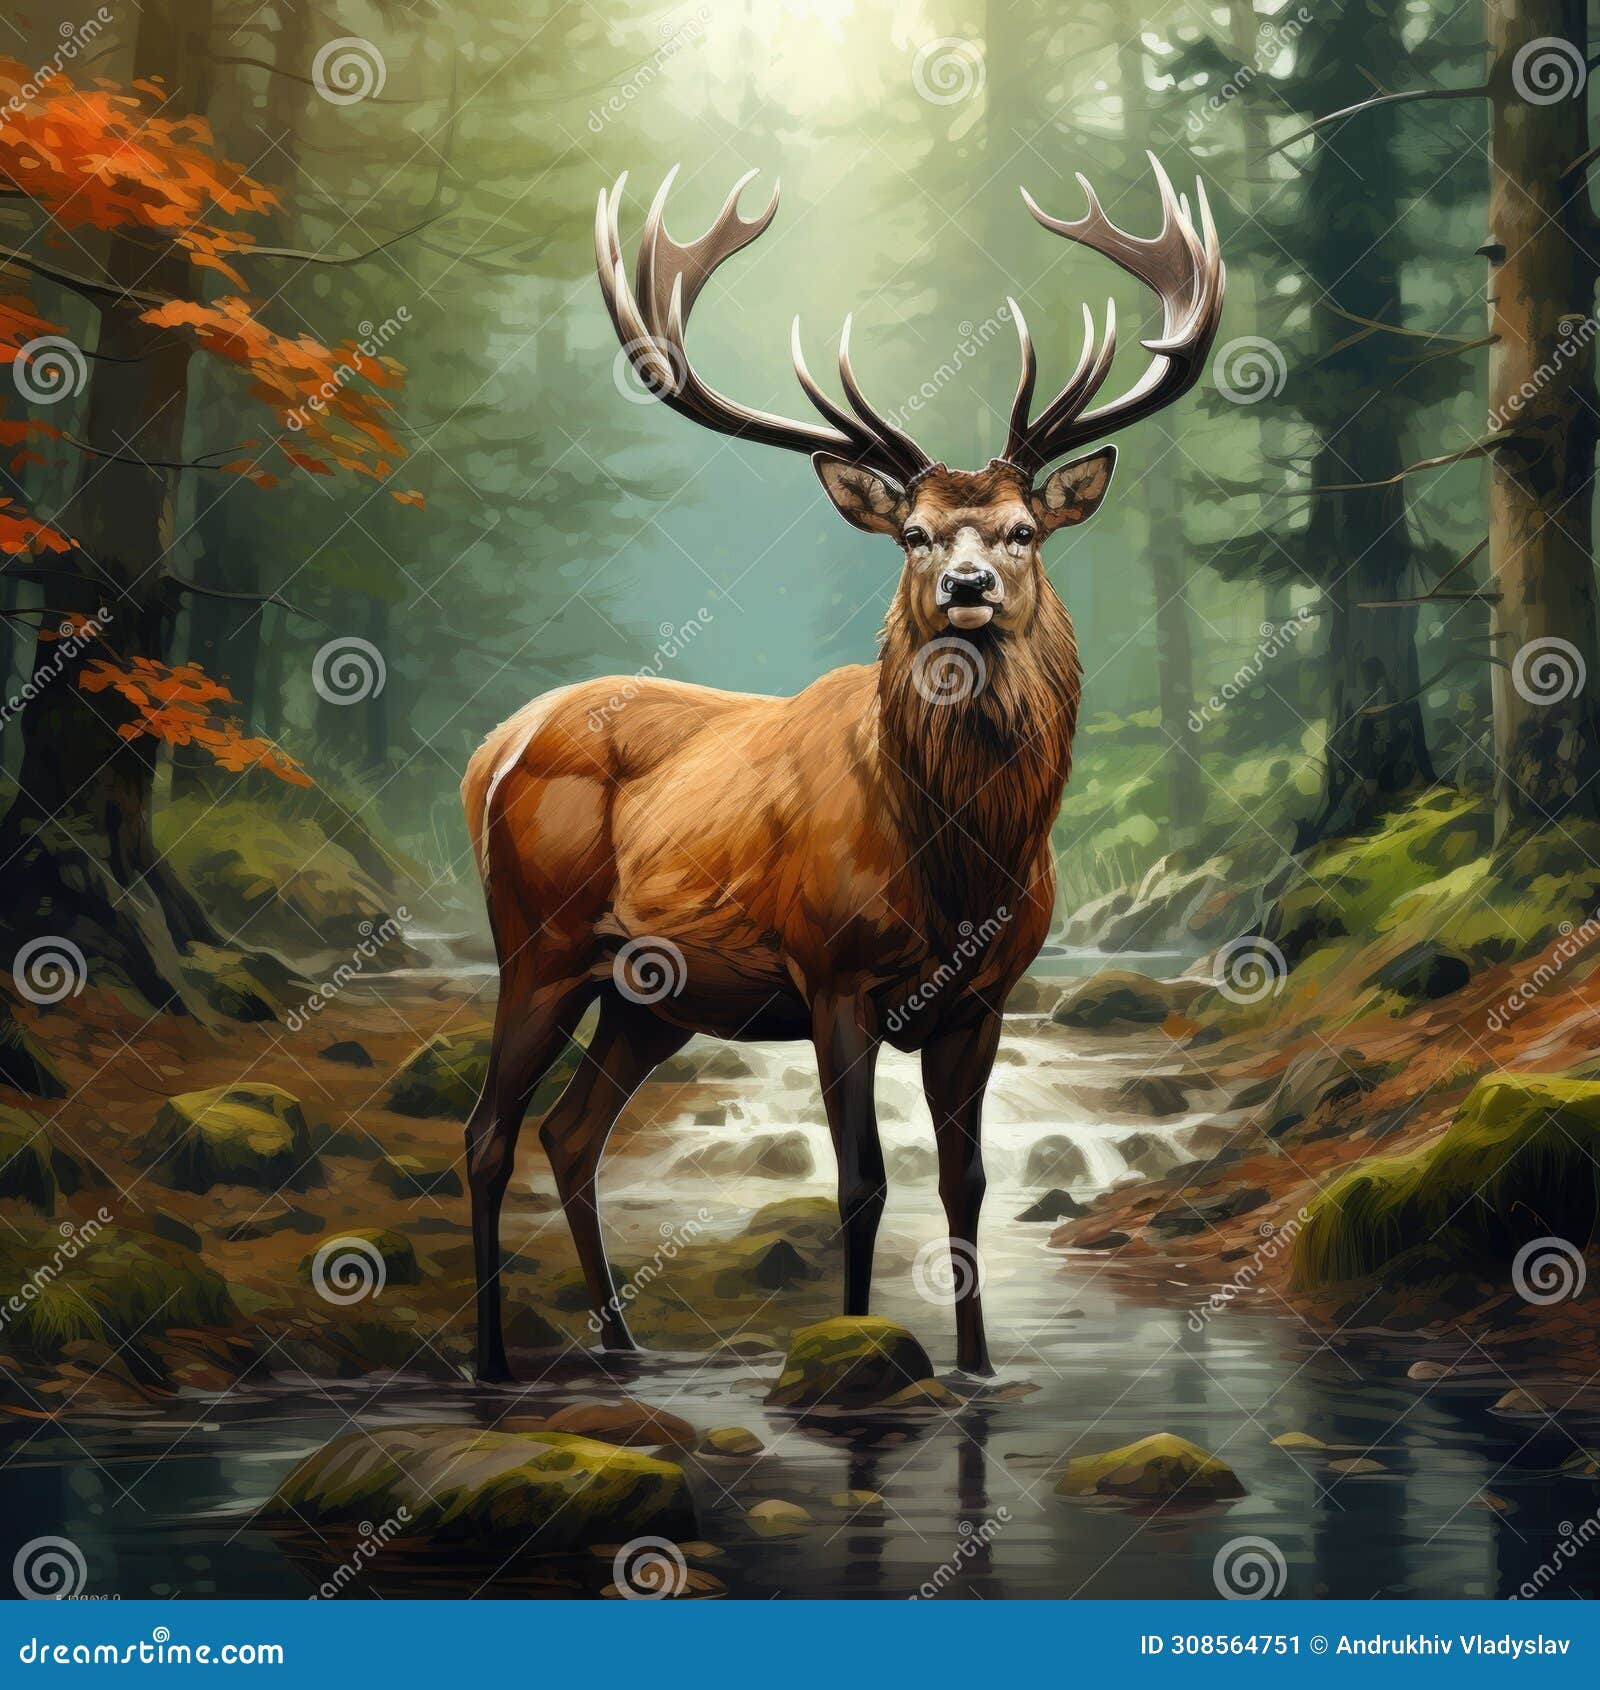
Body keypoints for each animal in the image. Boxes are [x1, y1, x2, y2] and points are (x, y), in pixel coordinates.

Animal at [461, 155, 1224, 1383]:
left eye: (1022, 531)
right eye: (914, 534)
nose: (966, 587)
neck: (959, 858)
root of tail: (491, 750)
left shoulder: (985, 994)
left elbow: (964, 1181)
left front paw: (979, 1366)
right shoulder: (832, 970)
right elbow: (862, 1181)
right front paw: (859, 1351)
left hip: (648, 992)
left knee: (569, 1132)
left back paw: (623, 1344)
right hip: (537, 939)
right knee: (490, 1130)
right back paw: (489, 1360)